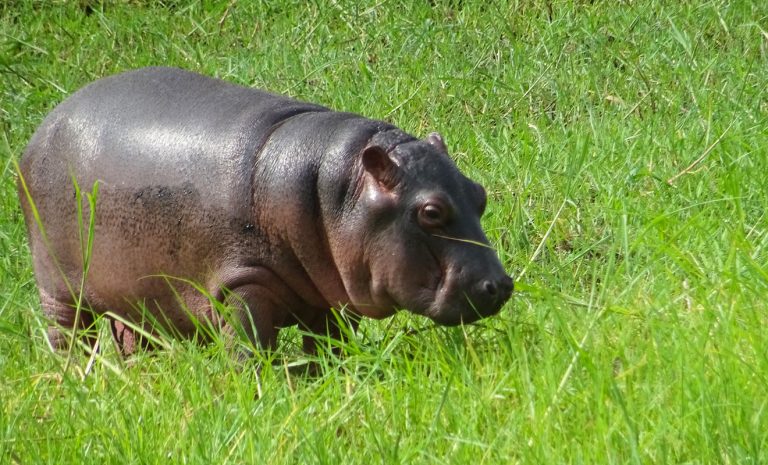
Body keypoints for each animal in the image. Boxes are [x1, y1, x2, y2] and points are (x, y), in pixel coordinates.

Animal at [18, 67, 513, 355]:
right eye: (431, 211)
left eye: (480, 194)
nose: (502, 285)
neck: (335, 189)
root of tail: (44, 124)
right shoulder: (241, 284)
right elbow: (250, 349)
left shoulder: (330, 293)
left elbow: (327, 348)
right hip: (58, 286)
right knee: (68, 335)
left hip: (132, 289)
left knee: (131, 338)